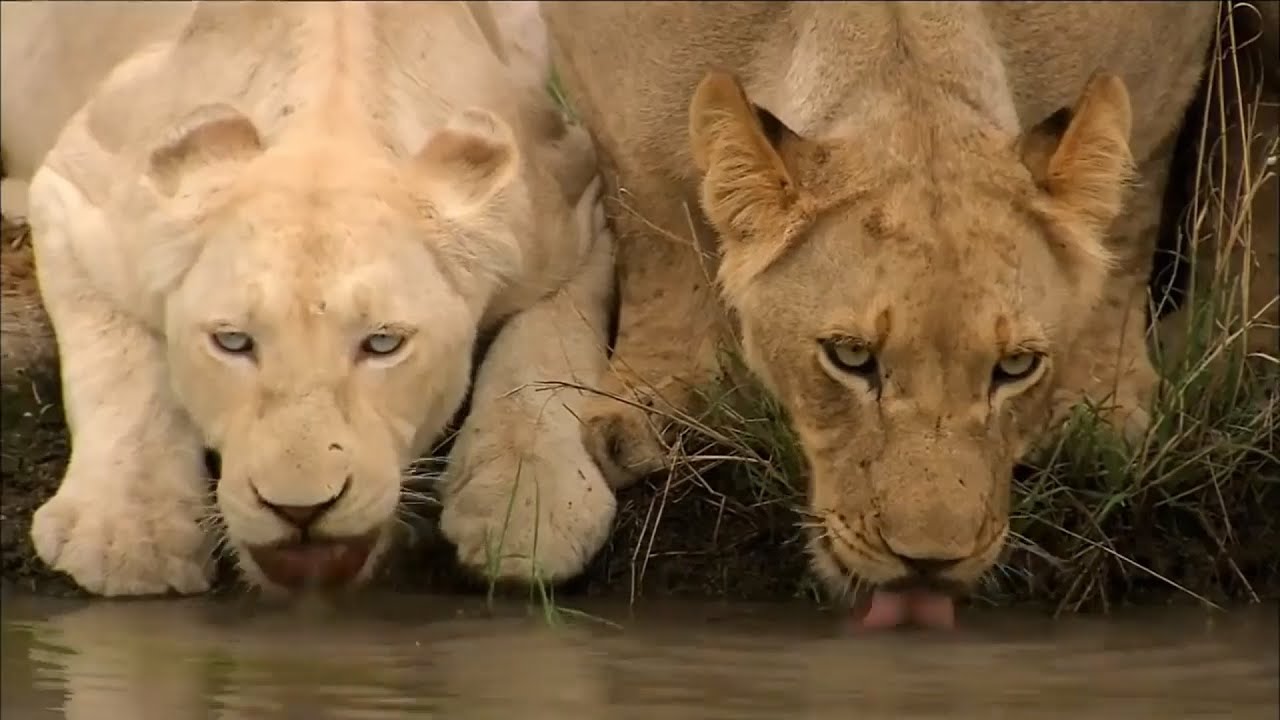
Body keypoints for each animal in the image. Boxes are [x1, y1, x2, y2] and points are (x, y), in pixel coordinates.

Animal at [0, 0, 618, 597]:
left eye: (383, 343)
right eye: (232, 341)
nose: (300, 510)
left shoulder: (577, 200)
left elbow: (549, 351)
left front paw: (529, 509)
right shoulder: (77, 185)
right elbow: (121, 372)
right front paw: (129, 538)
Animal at [542, 2, 1223, 628]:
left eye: (1016, 367)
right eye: (850, 356)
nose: (929, 564)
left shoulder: (1164, 61)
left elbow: (1130, 219)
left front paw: (1099, 412)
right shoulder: (606, 76)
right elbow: (654, 225)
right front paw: (652, 411)